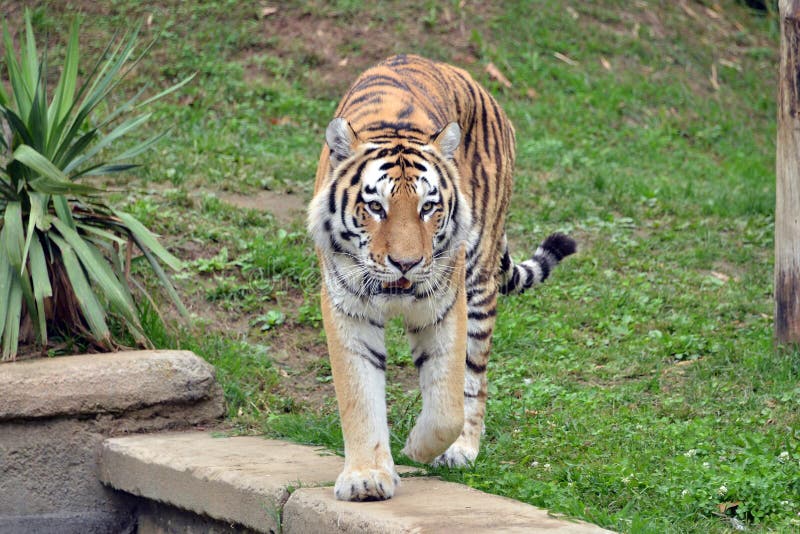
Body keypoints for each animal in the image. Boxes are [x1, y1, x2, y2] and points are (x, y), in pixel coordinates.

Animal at [307, 54, 576, 502]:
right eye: (375, 207)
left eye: (428, 207)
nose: (406, 263)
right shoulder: (348, 309)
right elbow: (359, 395)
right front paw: (366, 477)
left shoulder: (446, 304)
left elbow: (447, 402)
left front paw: (417, 448)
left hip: (479, 279)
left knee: (473, 379)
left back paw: (461, 449)